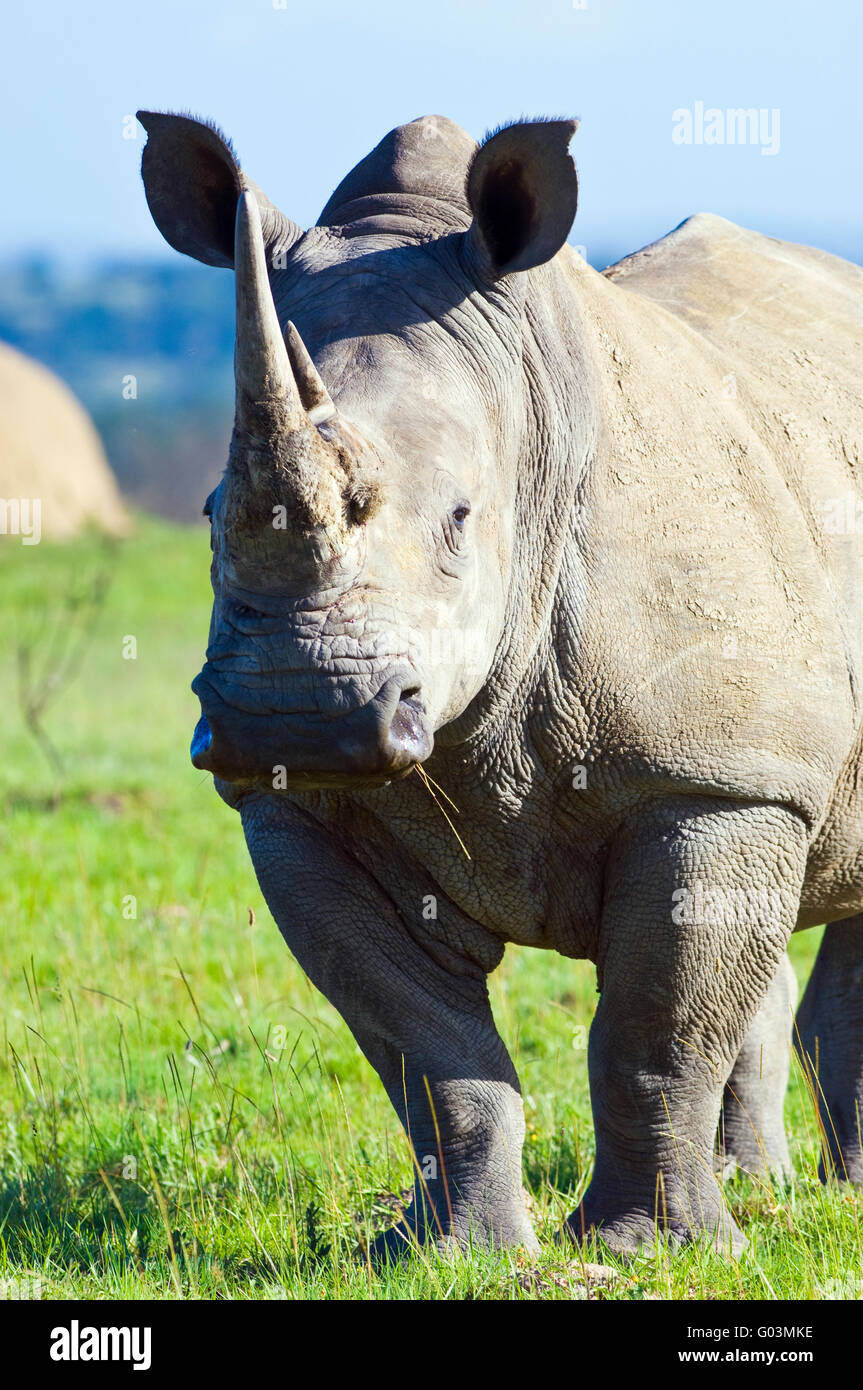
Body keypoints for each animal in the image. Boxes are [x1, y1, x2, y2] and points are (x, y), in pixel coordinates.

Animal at [137, 109, 863, 1256]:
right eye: (212, 512)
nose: (292, 712)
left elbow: (654, 1031)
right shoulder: (303, 810)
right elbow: (427, 1051)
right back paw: (769, 1190)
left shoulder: (713, 775)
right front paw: (448, 1251)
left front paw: (648, 1248)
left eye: (459, 518)